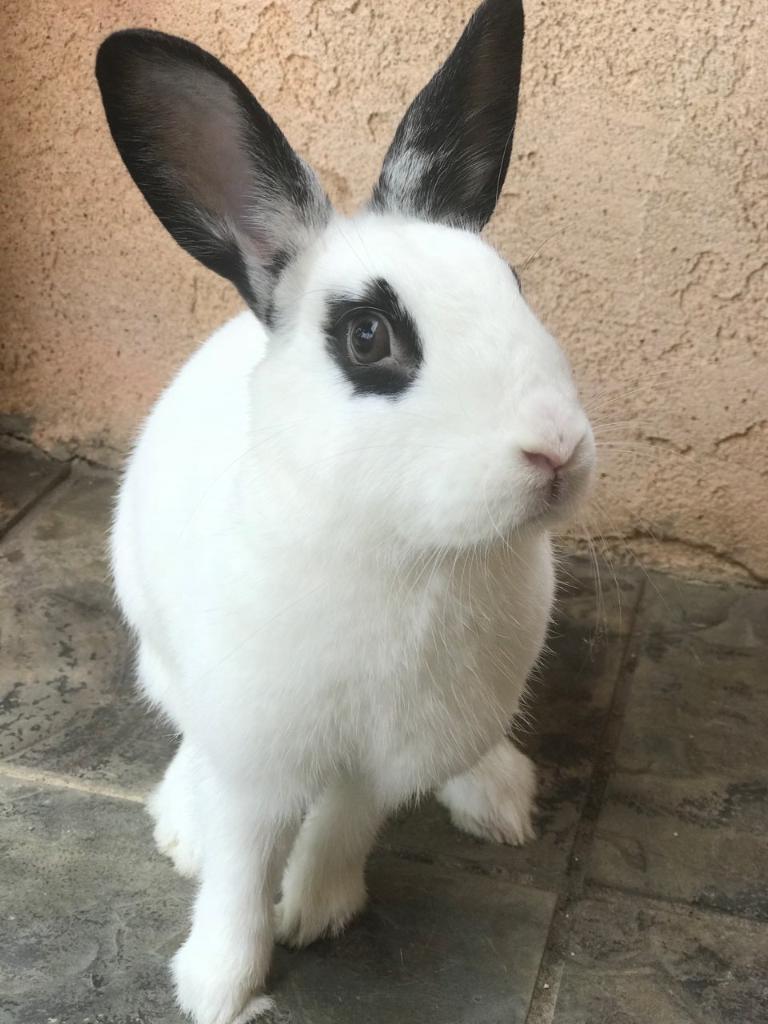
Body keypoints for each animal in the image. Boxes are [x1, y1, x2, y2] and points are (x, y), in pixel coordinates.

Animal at [96, 0, 595, 1021]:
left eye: (515, 286)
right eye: (369, 337)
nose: (556, 450)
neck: (411, 554)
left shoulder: (386, 756)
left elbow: (342, 828)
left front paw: (317, 909)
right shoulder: (259, 752)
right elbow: (241, 867)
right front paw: (219, 984)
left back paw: (497, 798)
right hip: (163, 657)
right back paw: (180, 824)